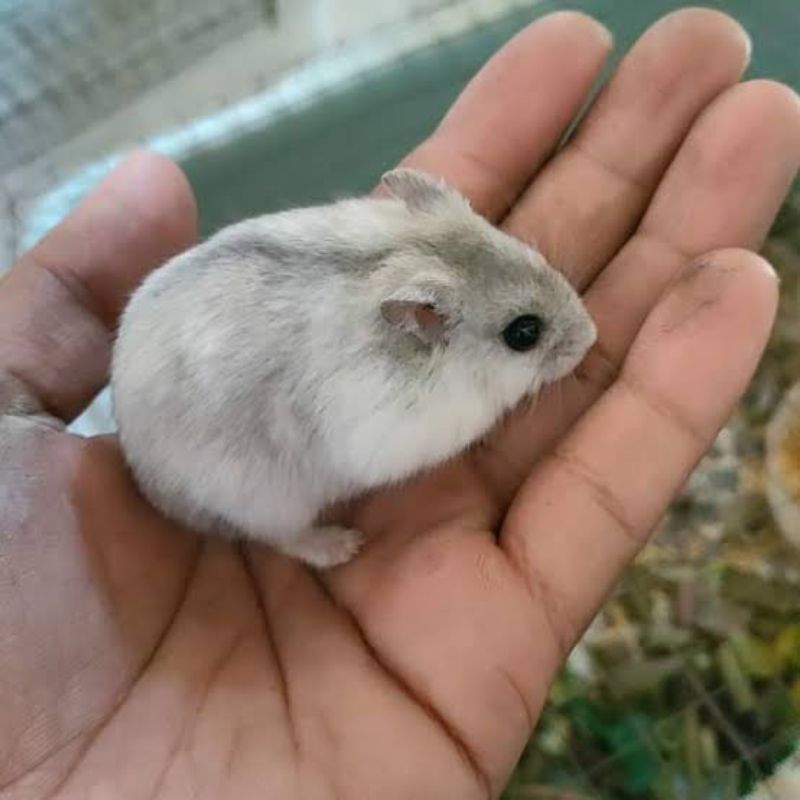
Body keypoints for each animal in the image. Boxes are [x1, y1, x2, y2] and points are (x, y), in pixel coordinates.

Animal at [111, 169, 596, 568]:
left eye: (534, 256)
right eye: (523, 333)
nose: (592, 335)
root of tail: (148, 486)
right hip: (267, 502)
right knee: (280, 538)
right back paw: (344, 546)